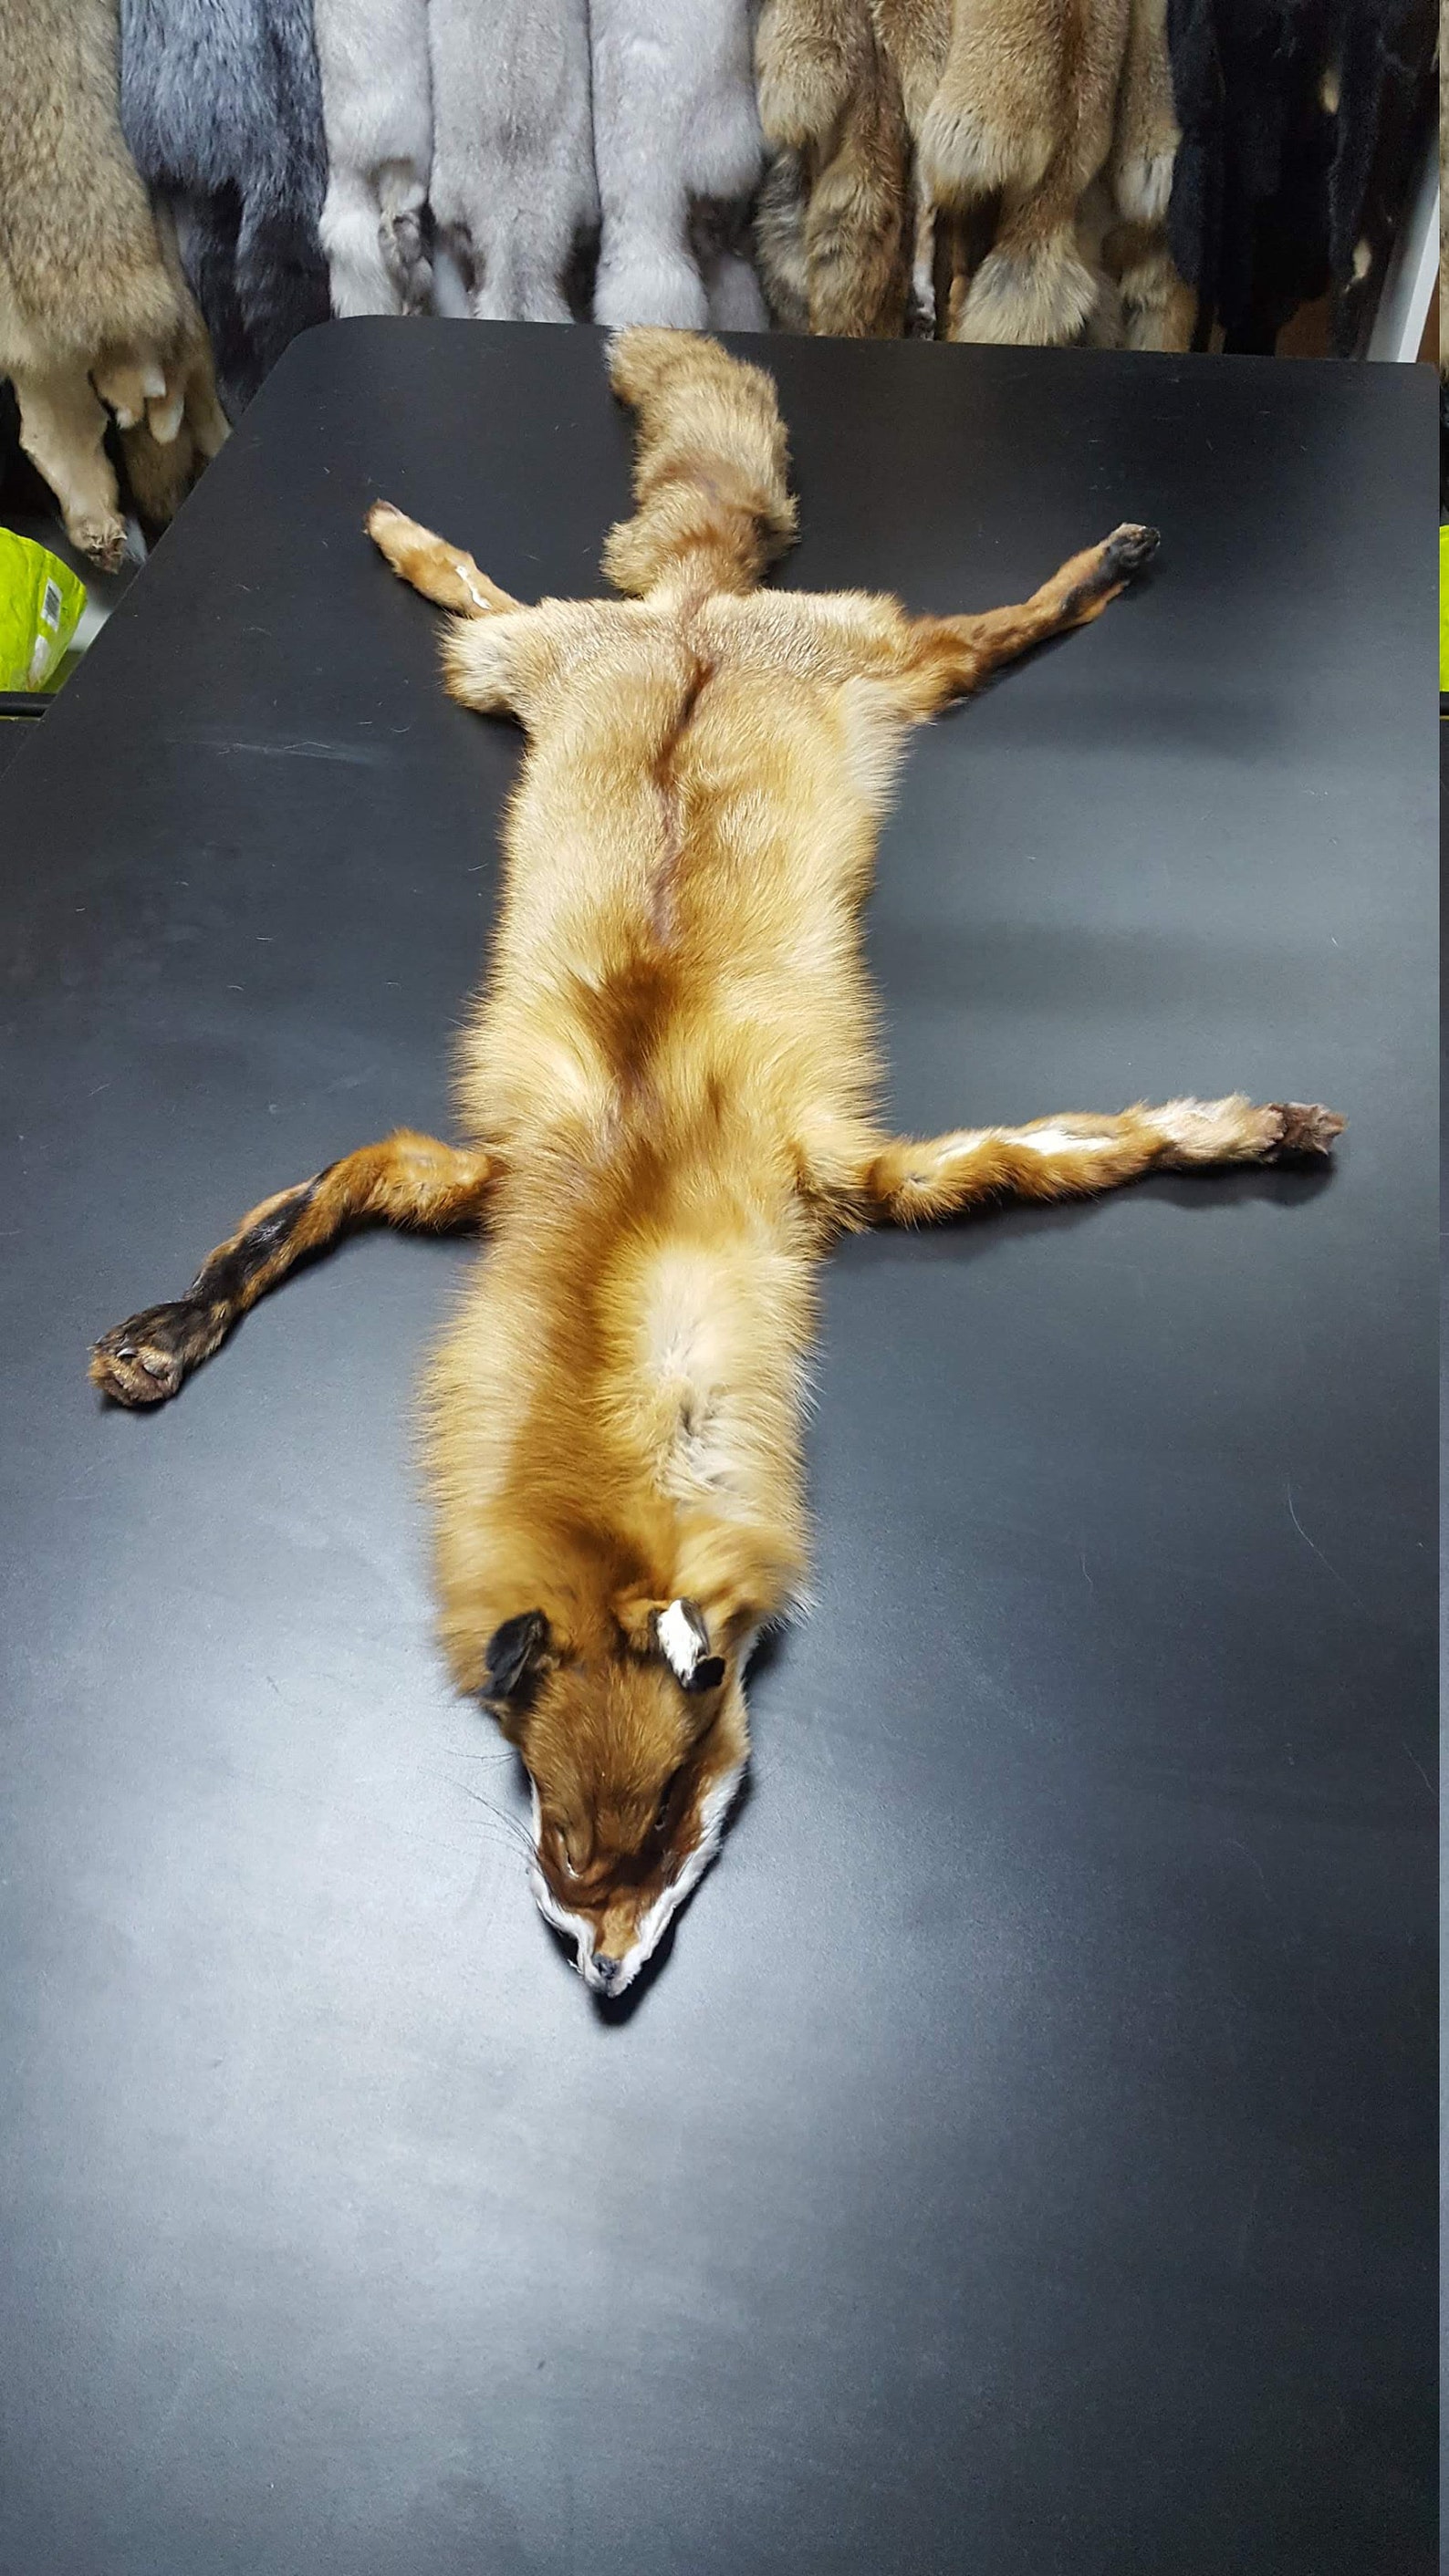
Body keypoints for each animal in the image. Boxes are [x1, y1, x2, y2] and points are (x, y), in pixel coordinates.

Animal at [90, 328, 1341, 1998]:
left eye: (677, 1805)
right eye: (555, 1823)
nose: (605, 1977)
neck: (633, 1193)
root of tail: (700, 614)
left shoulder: (859, 1177)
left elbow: (1076, 1151)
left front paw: (1251, 1130)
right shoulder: (468, 1171)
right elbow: (286, 1216)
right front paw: (170, 1332)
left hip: (893, 665)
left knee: (983, 634)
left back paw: (1101, 565)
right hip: (530, 667)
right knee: (482, 597)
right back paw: (405, 535)